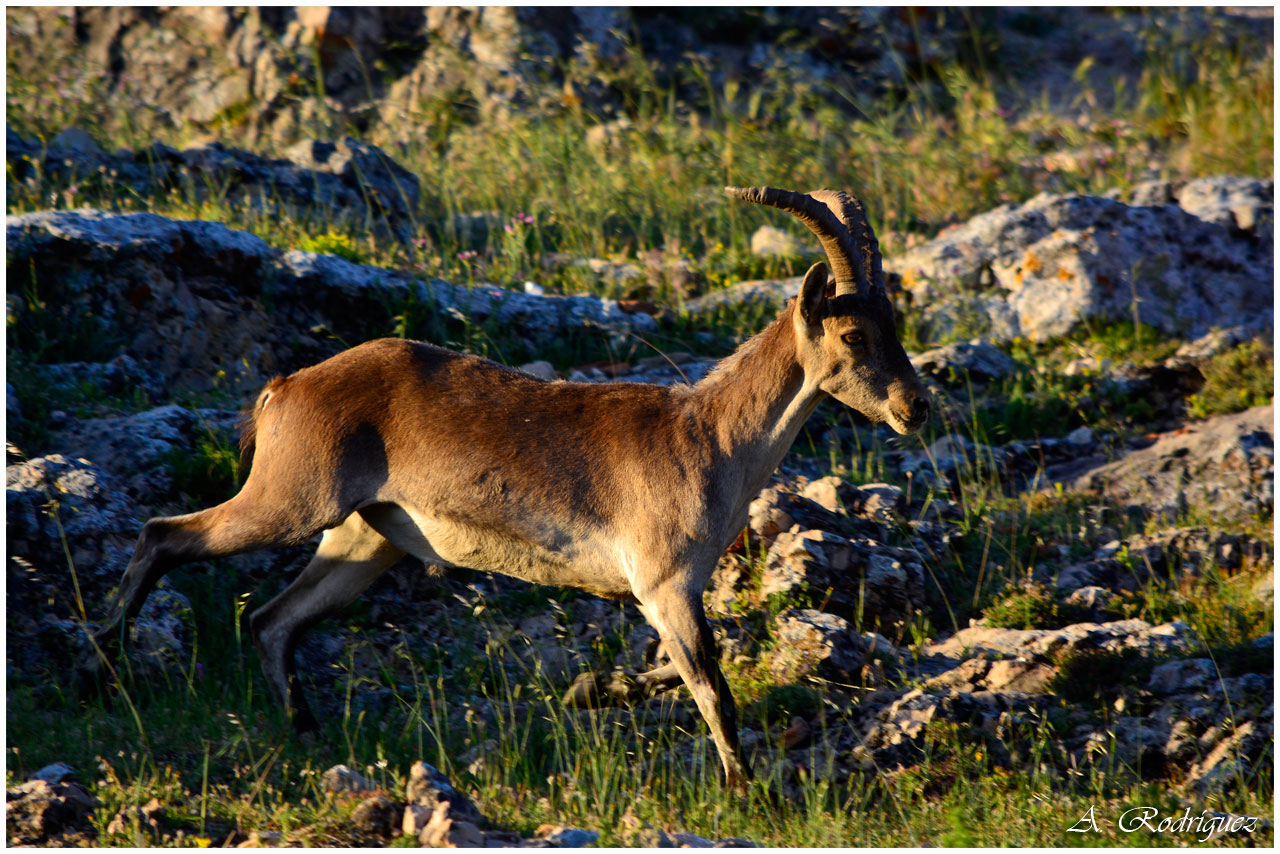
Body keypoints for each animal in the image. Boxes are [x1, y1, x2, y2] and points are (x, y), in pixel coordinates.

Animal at [81, 186, 929, 787]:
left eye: (896, 324)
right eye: (854, 333)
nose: (914, 408)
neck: (709, 437)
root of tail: (284, 390)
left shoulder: (660, 592)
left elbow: (679, 669)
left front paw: (591, 689)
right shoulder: (663, 582)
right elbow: (711, 681)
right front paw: (745, 788)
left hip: (364, 540)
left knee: (272, 619)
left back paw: (307, 733)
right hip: (291, 503)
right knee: (165, 535)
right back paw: (106, 664)